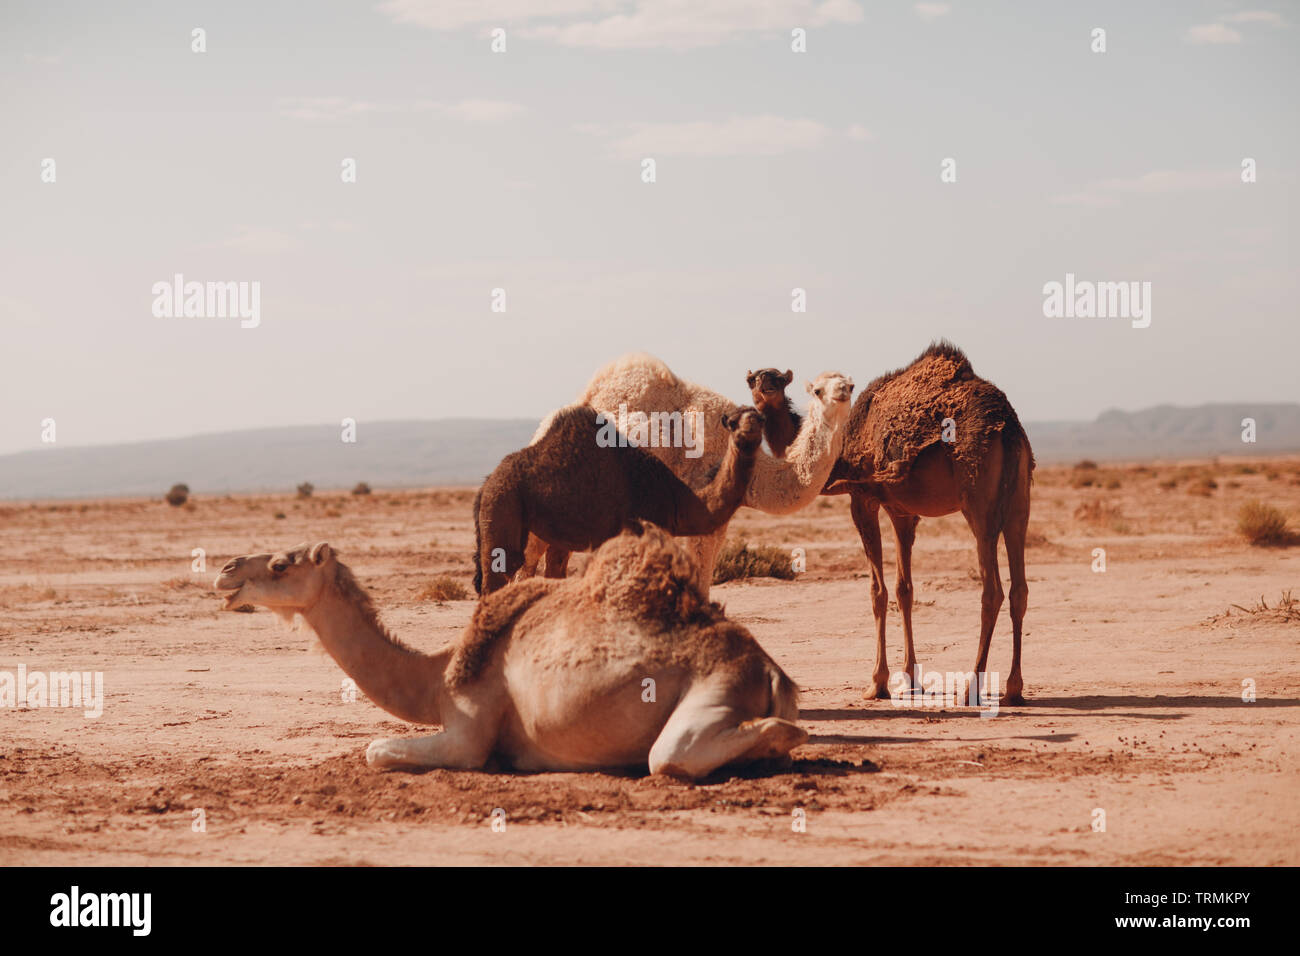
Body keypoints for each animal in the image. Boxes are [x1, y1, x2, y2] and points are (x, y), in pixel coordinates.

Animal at [213, 523, 807, 778]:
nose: (225, 570)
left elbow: (377, 751)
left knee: (679, 755)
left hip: (715, 687)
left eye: (281, 565)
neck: (437, 677)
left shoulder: (469, 731)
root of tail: (771, 670)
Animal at [472, 405, 765, 595]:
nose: (749, 429)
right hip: (502, 502)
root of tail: (485, 483)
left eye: (760, 417)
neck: (674, 498)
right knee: (500, 571)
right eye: (733, 421)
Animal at [822, 341, 1034, 705]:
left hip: (979, 503)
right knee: (1019, 588)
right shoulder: (903, 512)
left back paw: (971, 687)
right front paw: (909, 677)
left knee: (991, 589)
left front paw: (877, 683)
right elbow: (903, 589)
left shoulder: (862, 498)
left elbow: (877, 591)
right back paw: (1013, 688)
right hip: (1021, 501)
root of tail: (1008, 430)